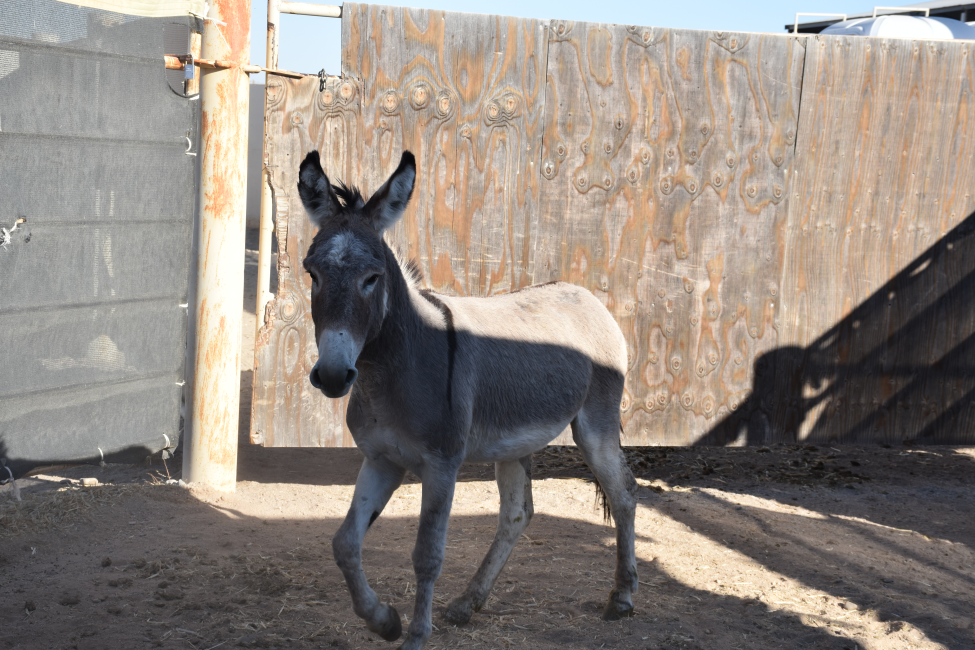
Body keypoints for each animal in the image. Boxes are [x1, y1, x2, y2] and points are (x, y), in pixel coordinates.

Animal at [297, 149, 638, 649]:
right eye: (313, 273)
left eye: (372, 278)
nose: (334, 375)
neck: (391, 371)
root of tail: (584, 293)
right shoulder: (382, 459)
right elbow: (344, 543)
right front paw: (384, 620)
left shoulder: (442, 464)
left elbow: (427, 554)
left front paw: (415, 637)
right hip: (515, 442)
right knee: (516, 514)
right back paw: (467, 603)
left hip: (595, 424)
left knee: (624, 494)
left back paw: (622, 598)